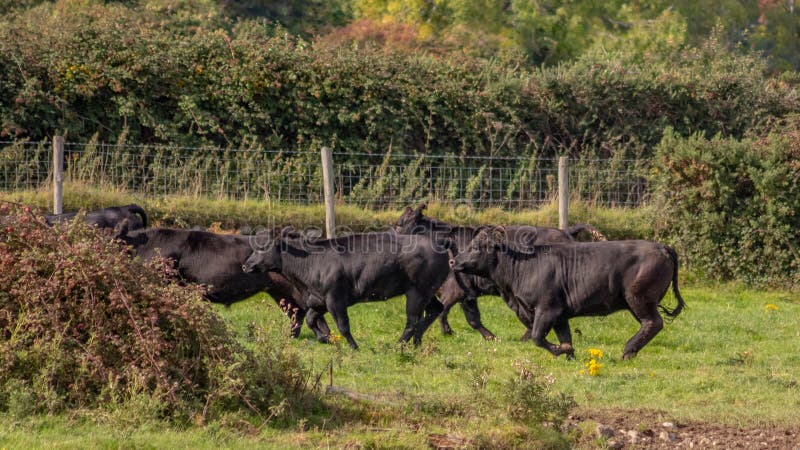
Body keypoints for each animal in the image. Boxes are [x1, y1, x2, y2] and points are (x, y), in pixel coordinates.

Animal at [242, 232, 452, 350]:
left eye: (262, 249)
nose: (245, 266)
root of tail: (439, 243)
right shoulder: (318, 300)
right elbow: (310, 320)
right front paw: (325, 338)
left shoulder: (335, 300)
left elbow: (343, 326)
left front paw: (353, 346)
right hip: (428, 292)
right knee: (435, 309)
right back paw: (416, 341)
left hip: (417, 292)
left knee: (412, 320)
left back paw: (399, 344)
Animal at [394, 204, 607, 340]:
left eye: (400, 224)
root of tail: (566, 232)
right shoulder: (468, 294)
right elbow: (473, 318)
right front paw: (489, 337)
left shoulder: (453, 290)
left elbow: (443, 311)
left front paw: (447, 332)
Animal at [449, 227, 685, 360]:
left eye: (477, 247)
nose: (453, 261)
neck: (525, 266)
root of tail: (661, 246)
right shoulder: (560, 315)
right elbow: (565, 337)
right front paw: (568, 352)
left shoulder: (547, 309)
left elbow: (537, 337)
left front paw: (560, 350)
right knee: (650, 324)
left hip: (639, 299)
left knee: (653, 323)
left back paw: (628, 351)